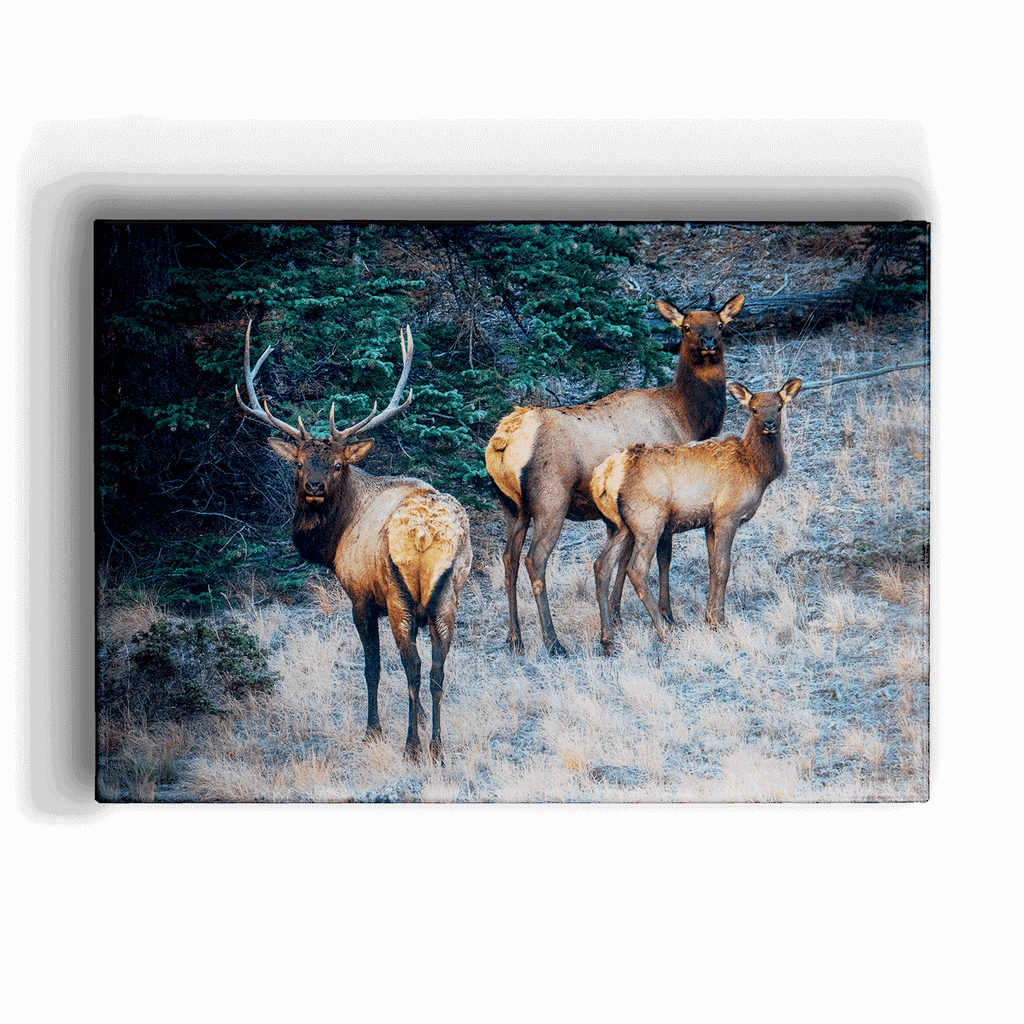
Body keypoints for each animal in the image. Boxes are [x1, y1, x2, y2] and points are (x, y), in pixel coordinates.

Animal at [236, 321, 472, 761]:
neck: (335, 540)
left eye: (337, 464)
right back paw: (436, 746)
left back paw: (411, 746)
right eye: (298, 463)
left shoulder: (361, 595)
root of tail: (426, 533)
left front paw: (372, 730)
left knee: (413, 666)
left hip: (399, 597)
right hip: (448, 594)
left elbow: (372, 667)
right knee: (437, 669)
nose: (313, 487)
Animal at [485, 293, 745, 656]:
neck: (688, 417)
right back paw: (553, 641)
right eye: (686, 327)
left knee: (508, 558)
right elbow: (663, 557)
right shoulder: (664, 496)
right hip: (551, 499)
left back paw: (515, 638)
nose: (708, 342)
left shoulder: (620, 516)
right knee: (534, 560)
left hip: (512, 507)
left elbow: (619, 563)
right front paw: (667, 616)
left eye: (719, 324)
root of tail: (504, 441)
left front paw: (617, 618)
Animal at [590, 376, 802, 653]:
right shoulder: (727, 515)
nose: (769, 424)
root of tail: (604, 477)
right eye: (754, 409)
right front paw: (719, 621)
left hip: (619, 525)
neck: (757, 470)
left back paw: (607, 638)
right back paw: (664, 631)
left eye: (779, 407)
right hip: (648, 519)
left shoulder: (709, 521)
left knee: (601, 565)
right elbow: (723, 567)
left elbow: (712, 566)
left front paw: (709, 618)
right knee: (636, 569)